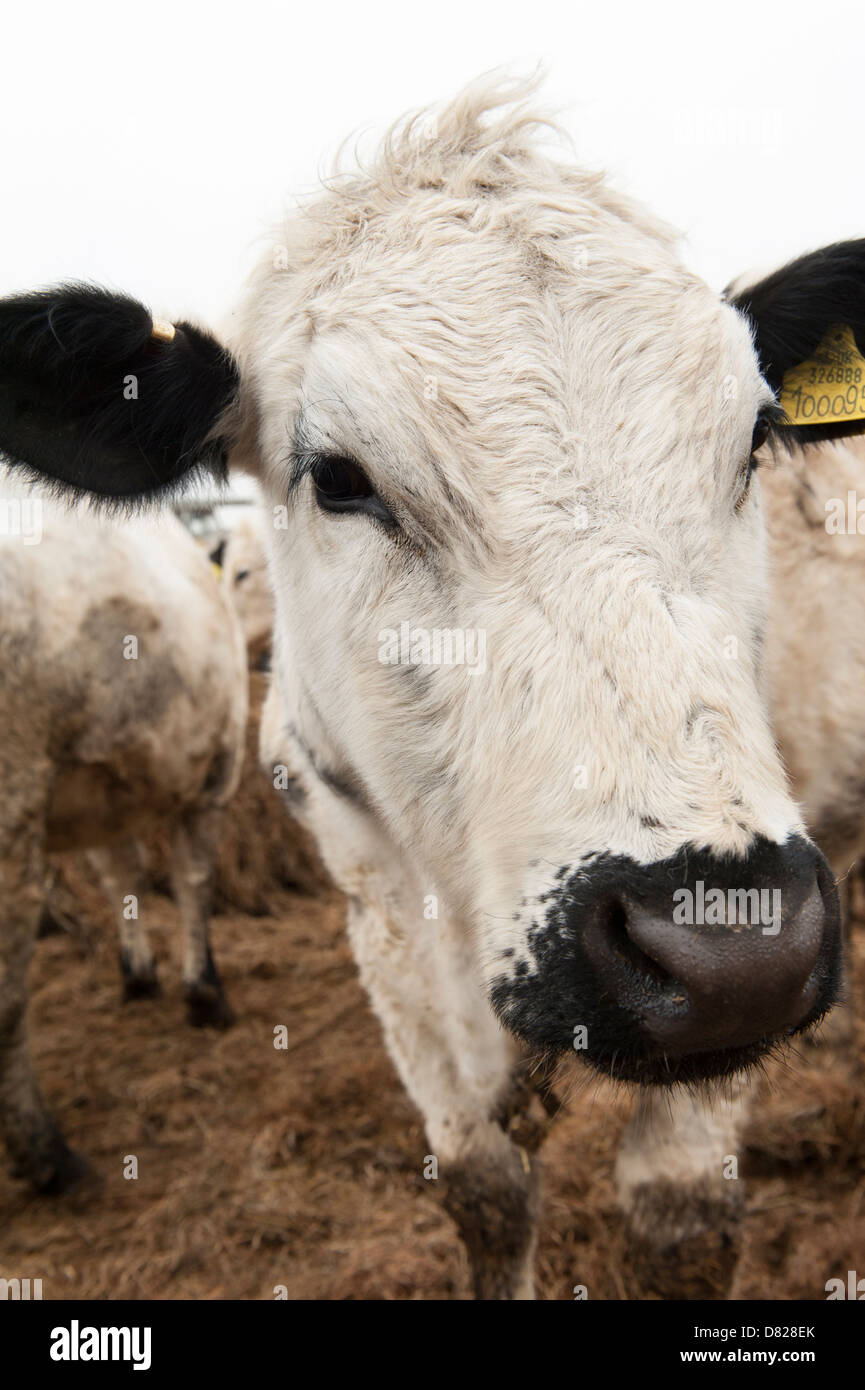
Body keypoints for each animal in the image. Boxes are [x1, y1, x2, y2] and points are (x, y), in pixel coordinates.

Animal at [0, 489, 247, 1190]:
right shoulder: (214, 775)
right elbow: (194, 881)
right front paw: (204, 990)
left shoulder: (97, 796)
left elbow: (123, 880)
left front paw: (139, 973)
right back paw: (46, 1154)